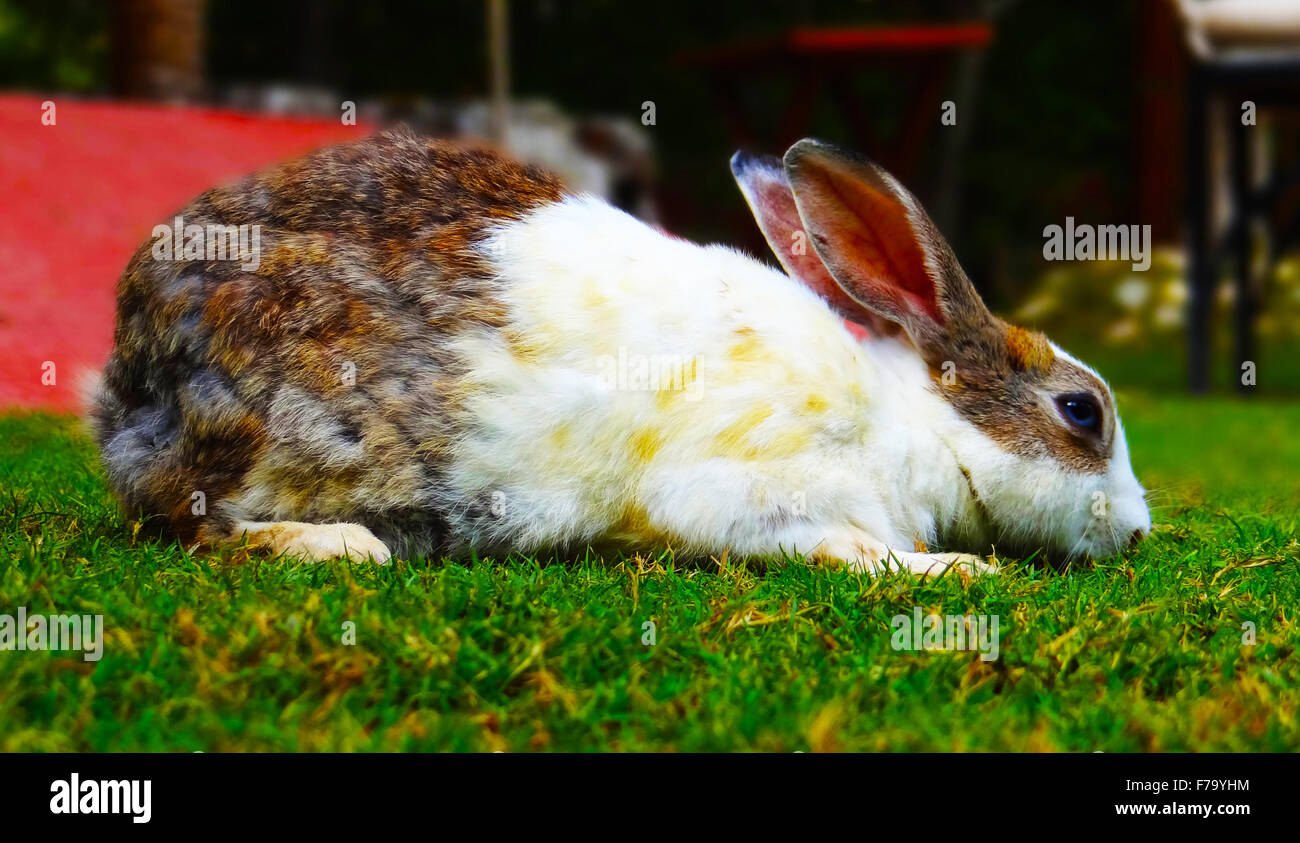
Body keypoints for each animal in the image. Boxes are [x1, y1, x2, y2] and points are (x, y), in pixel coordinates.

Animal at [90, 128, 1151, 576]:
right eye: (1082, 412)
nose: (1140, 530)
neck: (910, 427)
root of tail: (128, 389)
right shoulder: (751, 491)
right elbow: (842, 546)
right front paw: (958, 571)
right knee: (188, 523)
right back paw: (338, 545)